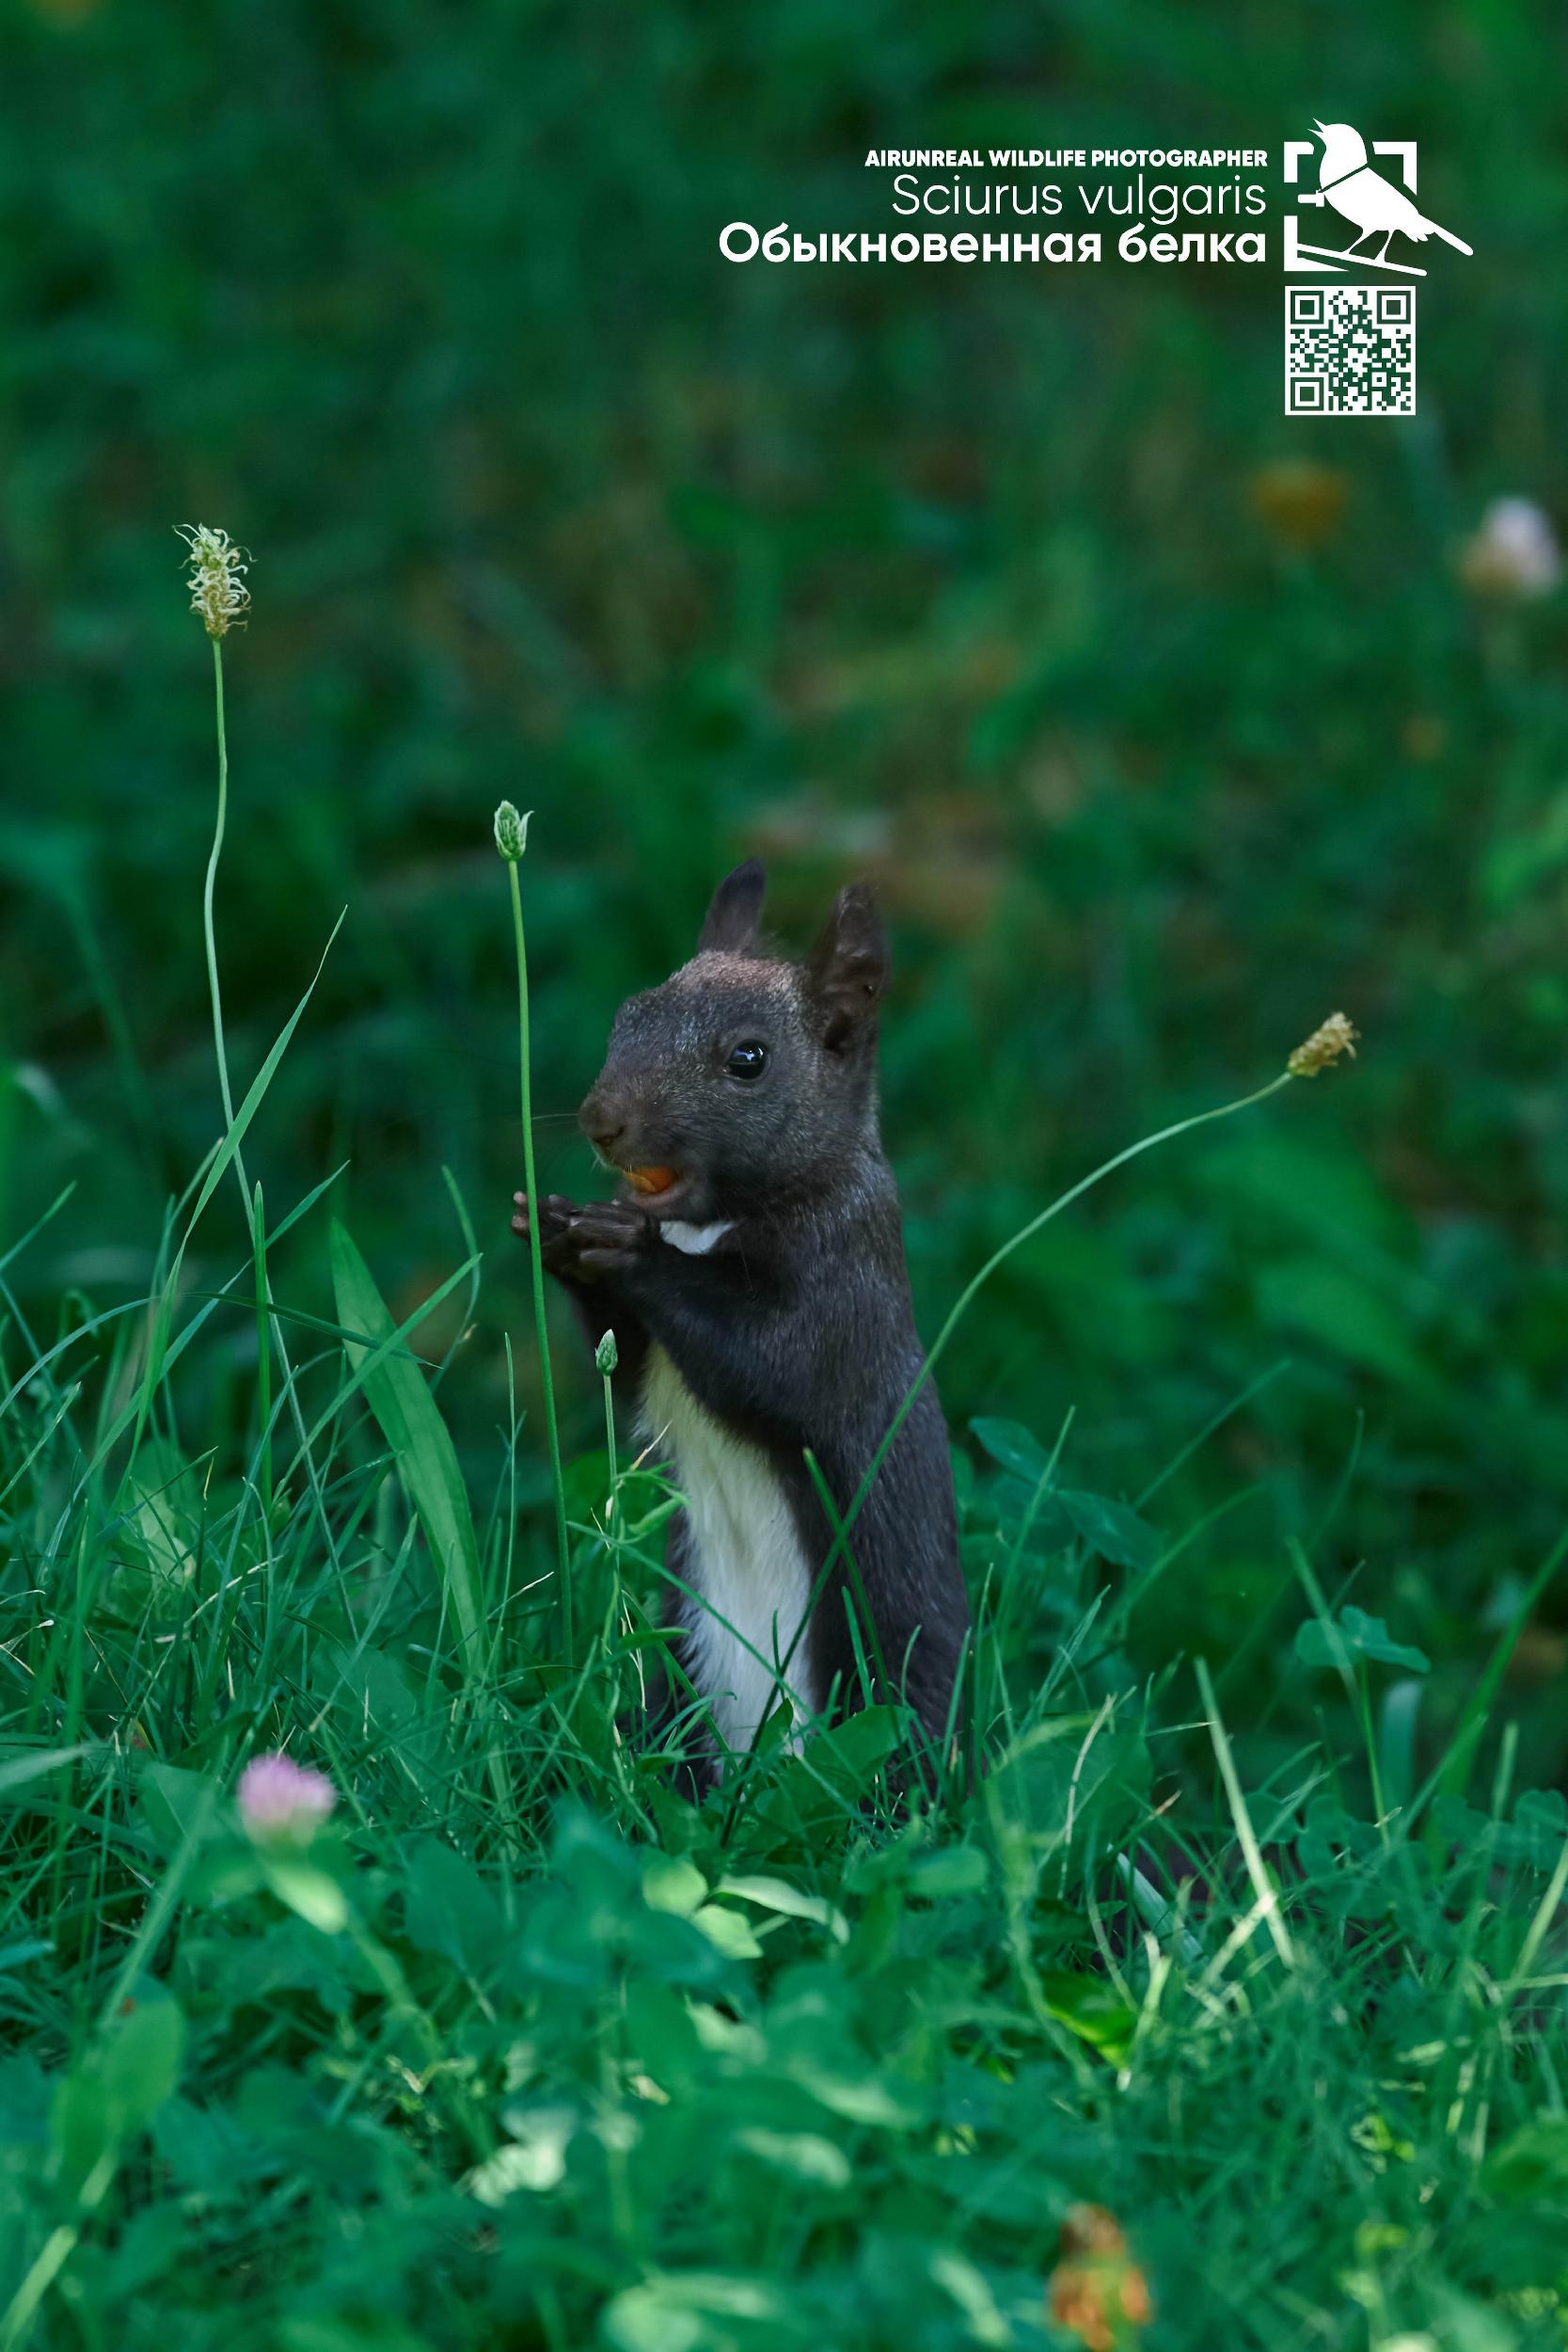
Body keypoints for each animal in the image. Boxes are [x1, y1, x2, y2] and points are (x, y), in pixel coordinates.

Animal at [512, 858, 968, 1779]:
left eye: (748, 1060)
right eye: (627, 1014)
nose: (600, 1121)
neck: (709, 1225)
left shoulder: (845, 1295)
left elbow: (768, 1366)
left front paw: (627, 1248)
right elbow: (627, 1368)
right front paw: (556, 1231)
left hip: (895, 1679)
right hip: (676, 1679)